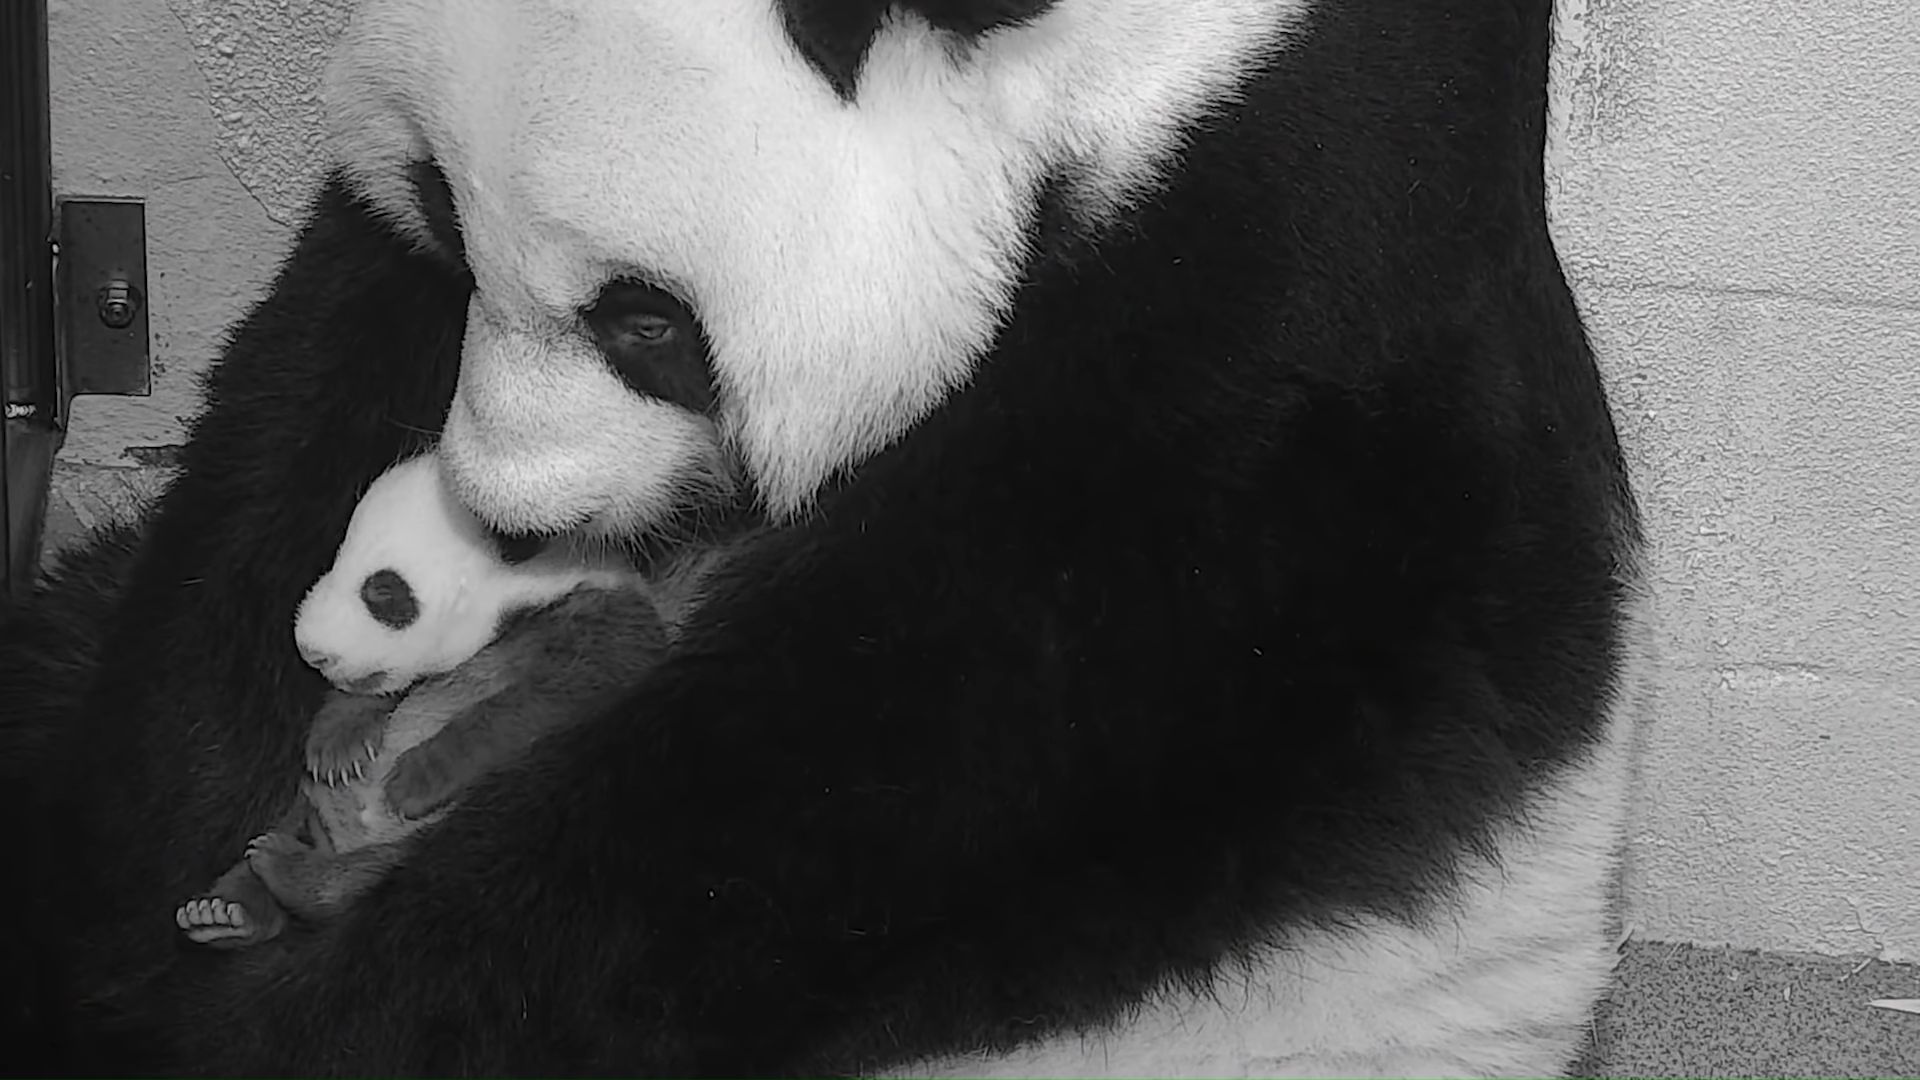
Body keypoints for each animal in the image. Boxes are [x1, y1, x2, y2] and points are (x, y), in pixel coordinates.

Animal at [0, 0, 1646, 1076]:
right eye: (444, 212)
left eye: (648, 323)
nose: (514, 509)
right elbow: (293, 419)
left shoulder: (1283, 309)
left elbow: (871, 772)